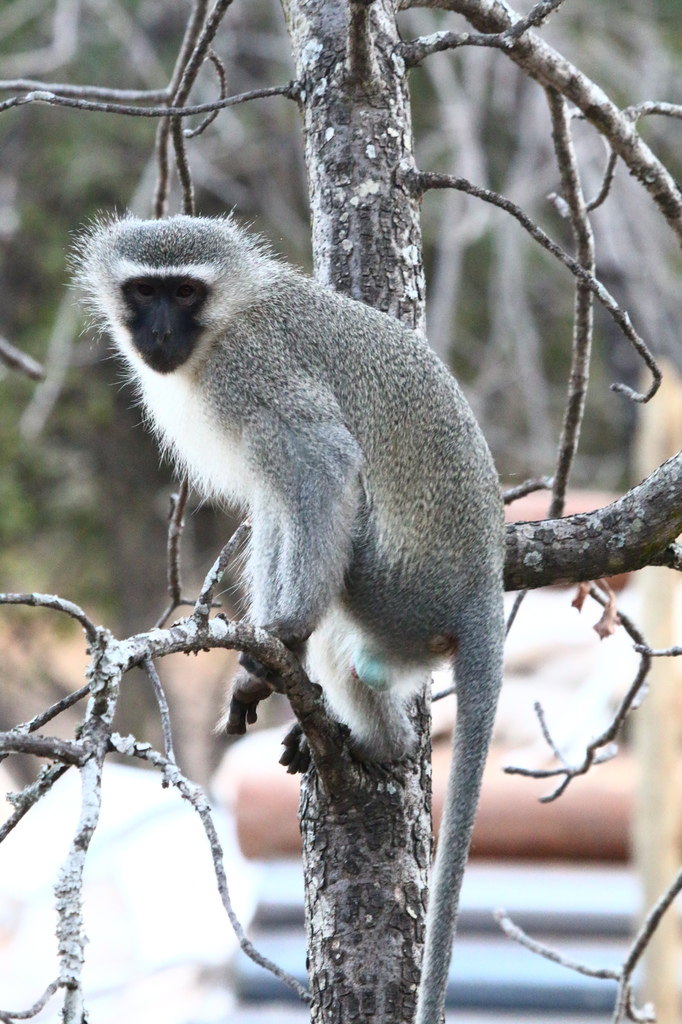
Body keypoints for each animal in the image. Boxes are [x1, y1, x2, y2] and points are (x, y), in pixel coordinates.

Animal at [73, 212, 505, 1024]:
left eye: (185, 291)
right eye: (144, 291)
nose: (160, 330)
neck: (222, 330)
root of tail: (484, 588)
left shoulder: (256, 376)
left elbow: (319, 464)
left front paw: (284, 638)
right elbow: (274, 506)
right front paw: (272, 656)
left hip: (398, 590)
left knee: (336, 564)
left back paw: (371, 730)